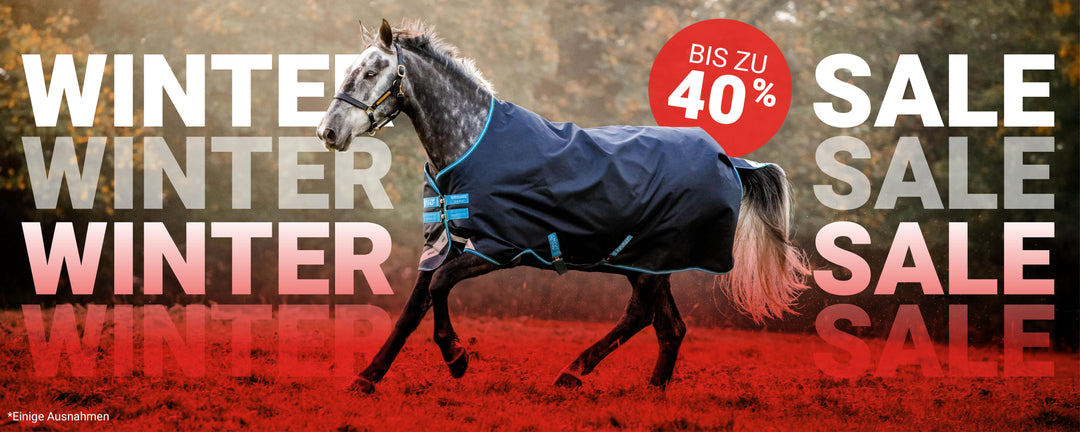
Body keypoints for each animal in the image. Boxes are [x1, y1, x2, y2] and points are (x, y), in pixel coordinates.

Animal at [316, 19, 809, 394]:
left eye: (372, 71)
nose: (329, 131)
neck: (470, 143)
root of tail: (730, 160)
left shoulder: (498, 249)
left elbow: (438, 288)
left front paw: (457, 358)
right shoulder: (444, 244)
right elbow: (411, 311)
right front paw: (366, 378)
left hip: (650, 261)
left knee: (641, 316)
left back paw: (572, 372)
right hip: (649, 263)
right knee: (670, 328)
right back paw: (651, 391)